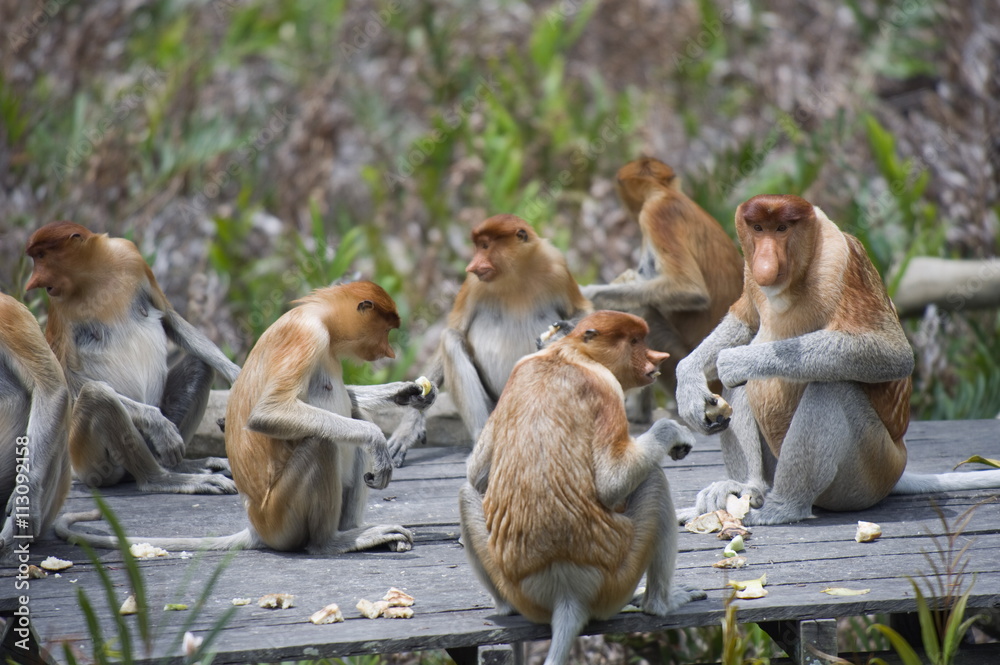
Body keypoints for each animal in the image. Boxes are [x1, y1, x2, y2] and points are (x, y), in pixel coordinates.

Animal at [25, 221, 238, 495]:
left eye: (42, 256)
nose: (33, 282)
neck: (93, 277)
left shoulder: (131, 256)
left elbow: (169, 318)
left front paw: (238, 375)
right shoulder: (59, 305)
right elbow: (66, 381)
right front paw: (157, 424)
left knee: (199, 364)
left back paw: (183, 466)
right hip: (86, 460)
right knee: (98, 395)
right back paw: (161, 478)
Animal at [56, 282, 437, 554]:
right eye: (386, 330)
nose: (389, 352)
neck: (323, 321)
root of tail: (255, 527)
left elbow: (350, 400)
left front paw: (408, 393)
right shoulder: (305, 337)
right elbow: (268, 413)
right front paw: (377, 439)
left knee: (348, 420)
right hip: (280, 516)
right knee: (322, 441)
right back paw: (333, 541)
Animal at [387, 214, 591, 465]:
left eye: (485, 246)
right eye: (477, 247)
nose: (472, 264)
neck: (516, 274)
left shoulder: (558, 268)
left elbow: (582, 312)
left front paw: (562, 333)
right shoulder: (473, 284)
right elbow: (454, 329)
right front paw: (407, 428)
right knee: (451, 339)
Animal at [459, 310, 705, 665]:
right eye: (634, 341)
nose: (657, 358)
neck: (570, 354)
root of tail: (567, 589)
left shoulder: (519, 367)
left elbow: (477, 474)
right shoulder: (606, 387)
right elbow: (610, 483)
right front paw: (673, 433)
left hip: (518, 587)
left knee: (466, 492)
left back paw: (505, 609)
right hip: (616, 578)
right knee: (655, 482)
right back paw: (662, 603)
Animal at [675, 194, 1000, 526]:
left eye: (781, 229)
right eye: (757, 228)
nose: (764, 263)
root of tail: (898, 468)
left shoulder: (842, 260)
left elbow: (893, 352)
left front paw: (736, 360)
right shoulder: (750, 275)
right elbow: (746, 322)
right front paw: (689, 385)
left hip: (872, 469)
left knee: (831, 387)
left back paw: (782, 507)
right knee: (744, 386)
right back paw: (747, 488)